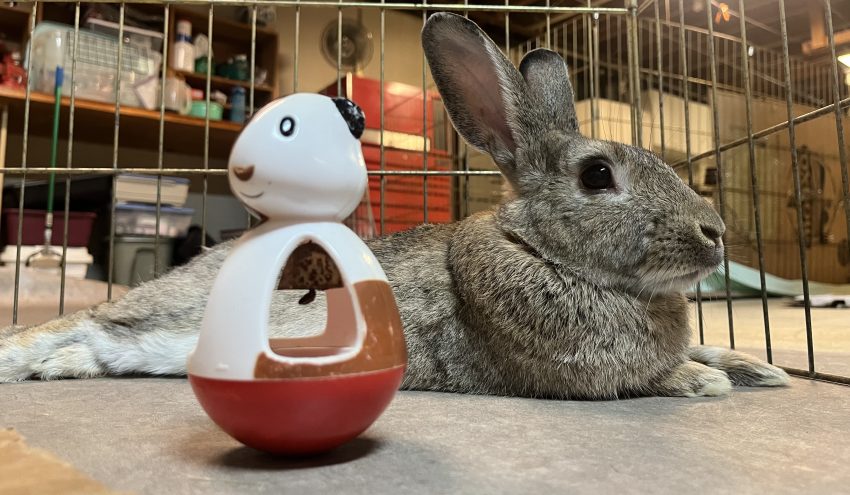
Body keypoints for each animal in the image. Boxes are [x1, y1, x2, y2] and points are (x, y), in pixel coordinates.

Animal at [0, 12, 788, 398]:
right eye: (597, 176)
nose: (716, 233)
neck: (538, 250)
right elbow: (652, 378)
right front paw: (707, 380)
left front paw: (755, 366)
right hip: (170, 311)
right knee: (83, 322)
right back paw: (23, 363)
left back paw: (65, 371)